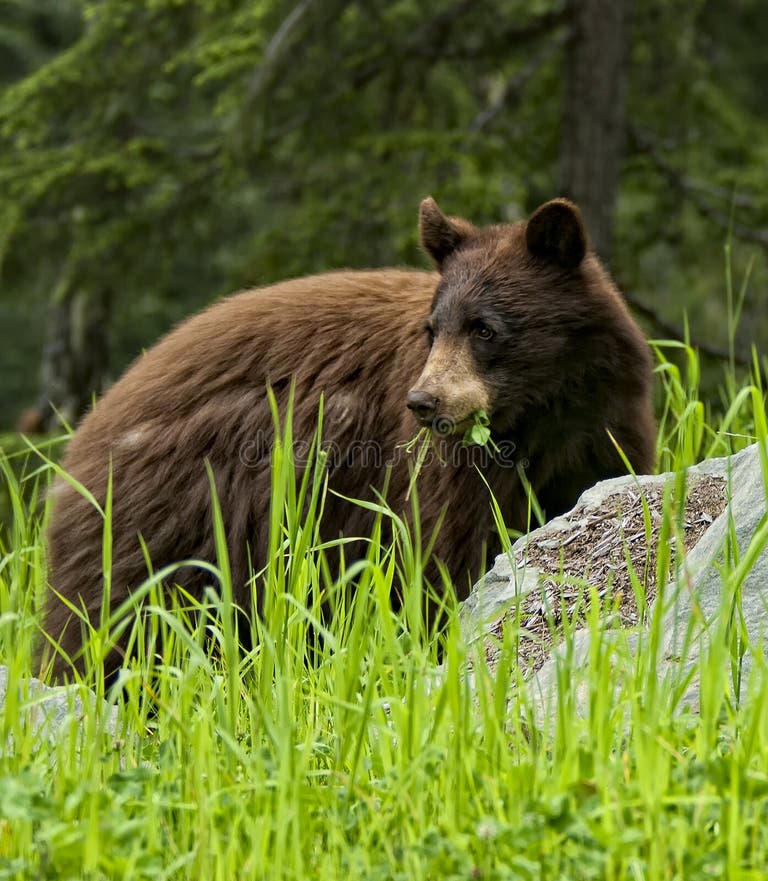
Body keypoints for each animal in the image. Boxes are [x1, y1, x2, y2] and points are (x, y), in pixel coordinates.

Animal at [41, 197, 655, 678]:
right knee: (114, 623)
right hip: (169, 520)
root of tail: (88, 437)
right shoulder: (444, 471)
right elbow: (445, 556)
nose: (423, 401)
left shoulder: (603, 427)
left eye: (485, 329)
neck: (541, 415)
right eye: (432, 329)